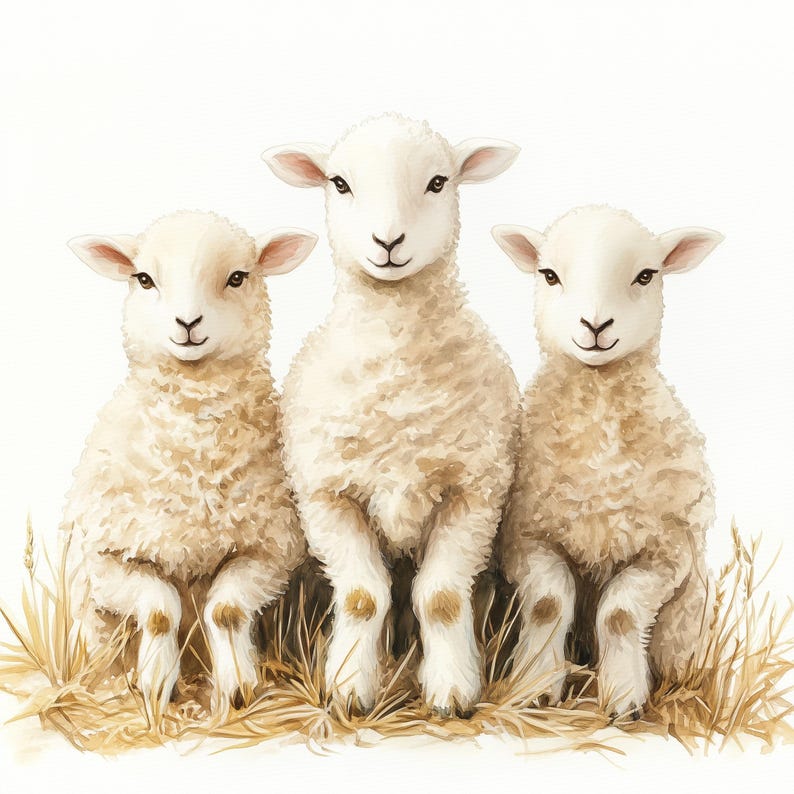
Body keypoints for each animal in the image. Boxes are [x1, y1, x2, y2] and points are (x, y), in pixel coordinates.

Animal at [62, 211, 317, 716]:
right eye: (143, 279)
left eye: (237, 277)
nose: (187, 322)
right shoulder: (103, 557)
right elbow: (161, 610)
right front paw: (155, 687)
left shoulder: (272, 550)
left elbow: (226, 609)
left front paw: (237, 688)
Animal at [262, 115, 520, 715]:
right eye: (339, 183)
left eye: (438, 182)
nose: (388, 242)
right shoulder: (325, 495)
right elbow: (361, 596)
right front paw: (349, 690)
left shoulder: (475, 491)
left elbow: (443, 597)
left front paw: (452, 691)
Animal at [492, 205, 723, 718]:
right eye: (549, 275)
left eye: (645, 275)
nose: (595, 326)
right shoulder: (527, 537)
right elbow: (548, 604)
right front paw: (535, 687)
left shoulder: (666, 552)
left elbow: (618, 614)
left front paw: (623, 701)